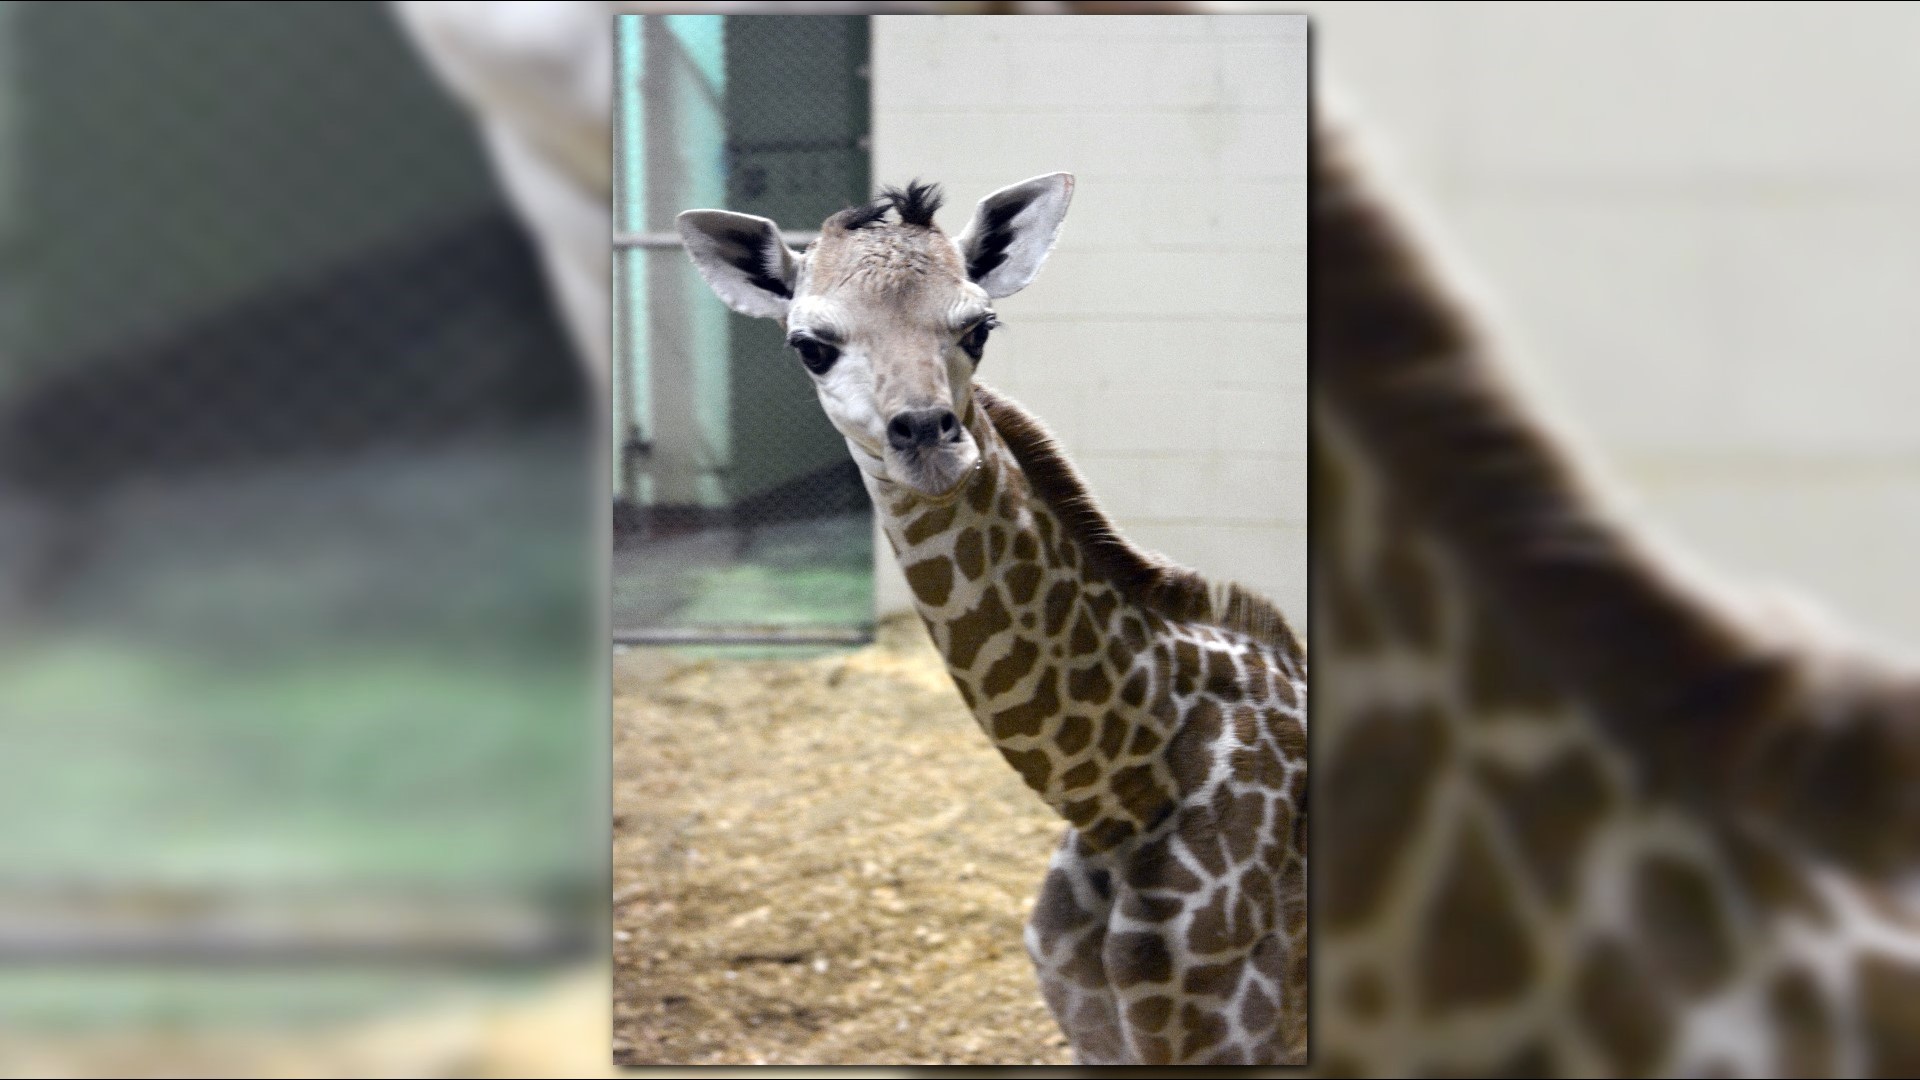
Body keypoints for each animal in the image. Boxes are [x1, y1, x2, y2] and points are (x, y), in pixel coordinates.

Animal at [677, 176, 1308, 1065]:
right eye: (810, 345)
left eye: (978, 326)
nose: (927, 437)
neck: (1120, 797)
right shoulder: (1100, 1039)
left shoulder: (1232, 1041)